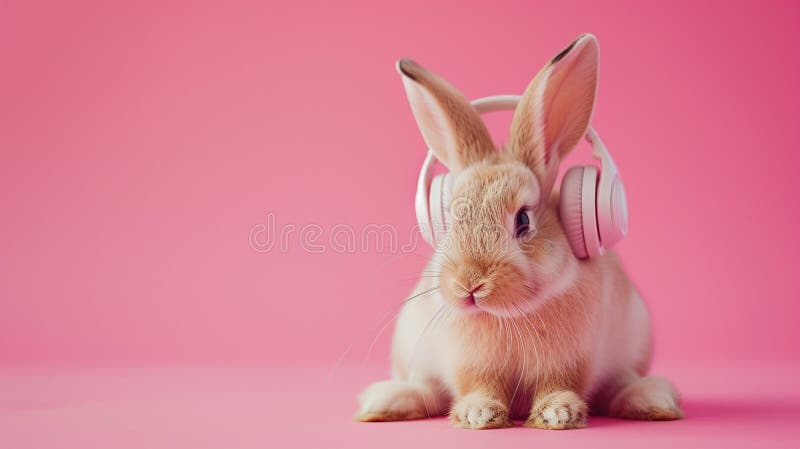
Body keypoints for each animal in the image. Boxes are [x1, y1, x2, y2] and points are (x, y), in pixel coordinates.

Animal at [356, 34, 683, 429]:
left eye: (523, 221)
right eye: (449, 217)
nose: (469, 284)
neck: (508, 315)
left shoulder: (570, 361)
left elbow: (560, 384)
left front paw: (558, 414)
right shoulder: (471, 364)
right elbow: (479, 386)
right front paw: (478, 414)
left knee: (619, 384)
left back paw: (652, 400)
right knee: (426, 389)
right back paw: (385, 402)